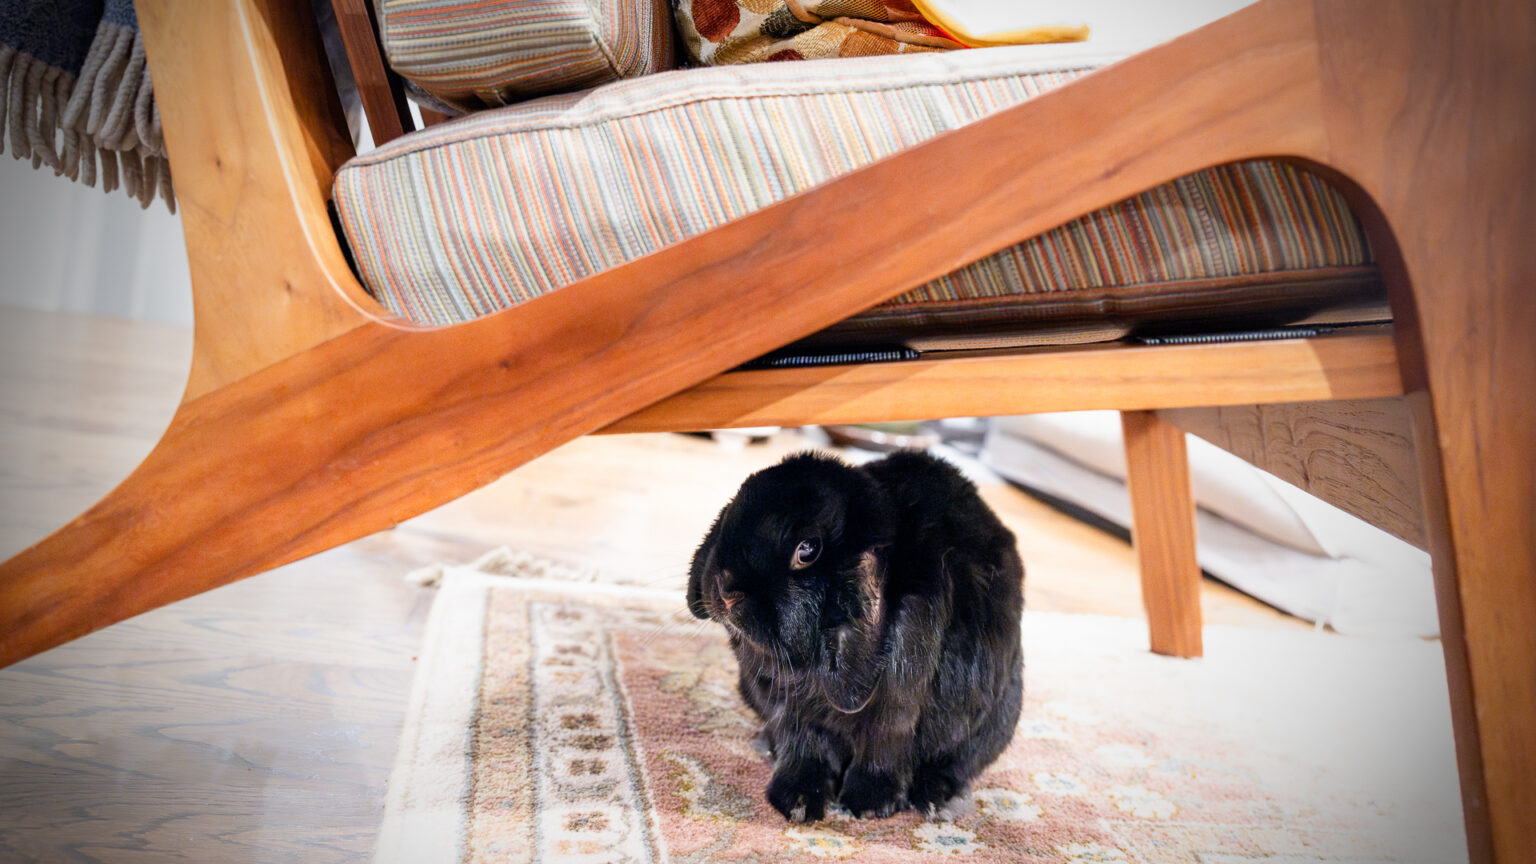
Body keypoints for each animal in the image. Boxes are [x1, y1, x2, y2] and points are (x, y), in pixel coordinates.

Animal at [688, 449, 1024, 821]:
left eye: (807, 550)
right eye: (732, 512)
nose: (726, 589)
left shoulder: (897, 711)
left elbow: (883, 751)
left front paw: (868, 805)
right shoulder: (788, 710)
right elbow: (804, 749)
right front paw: (797, 803)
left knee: (954, 764)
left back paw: (935, 801)